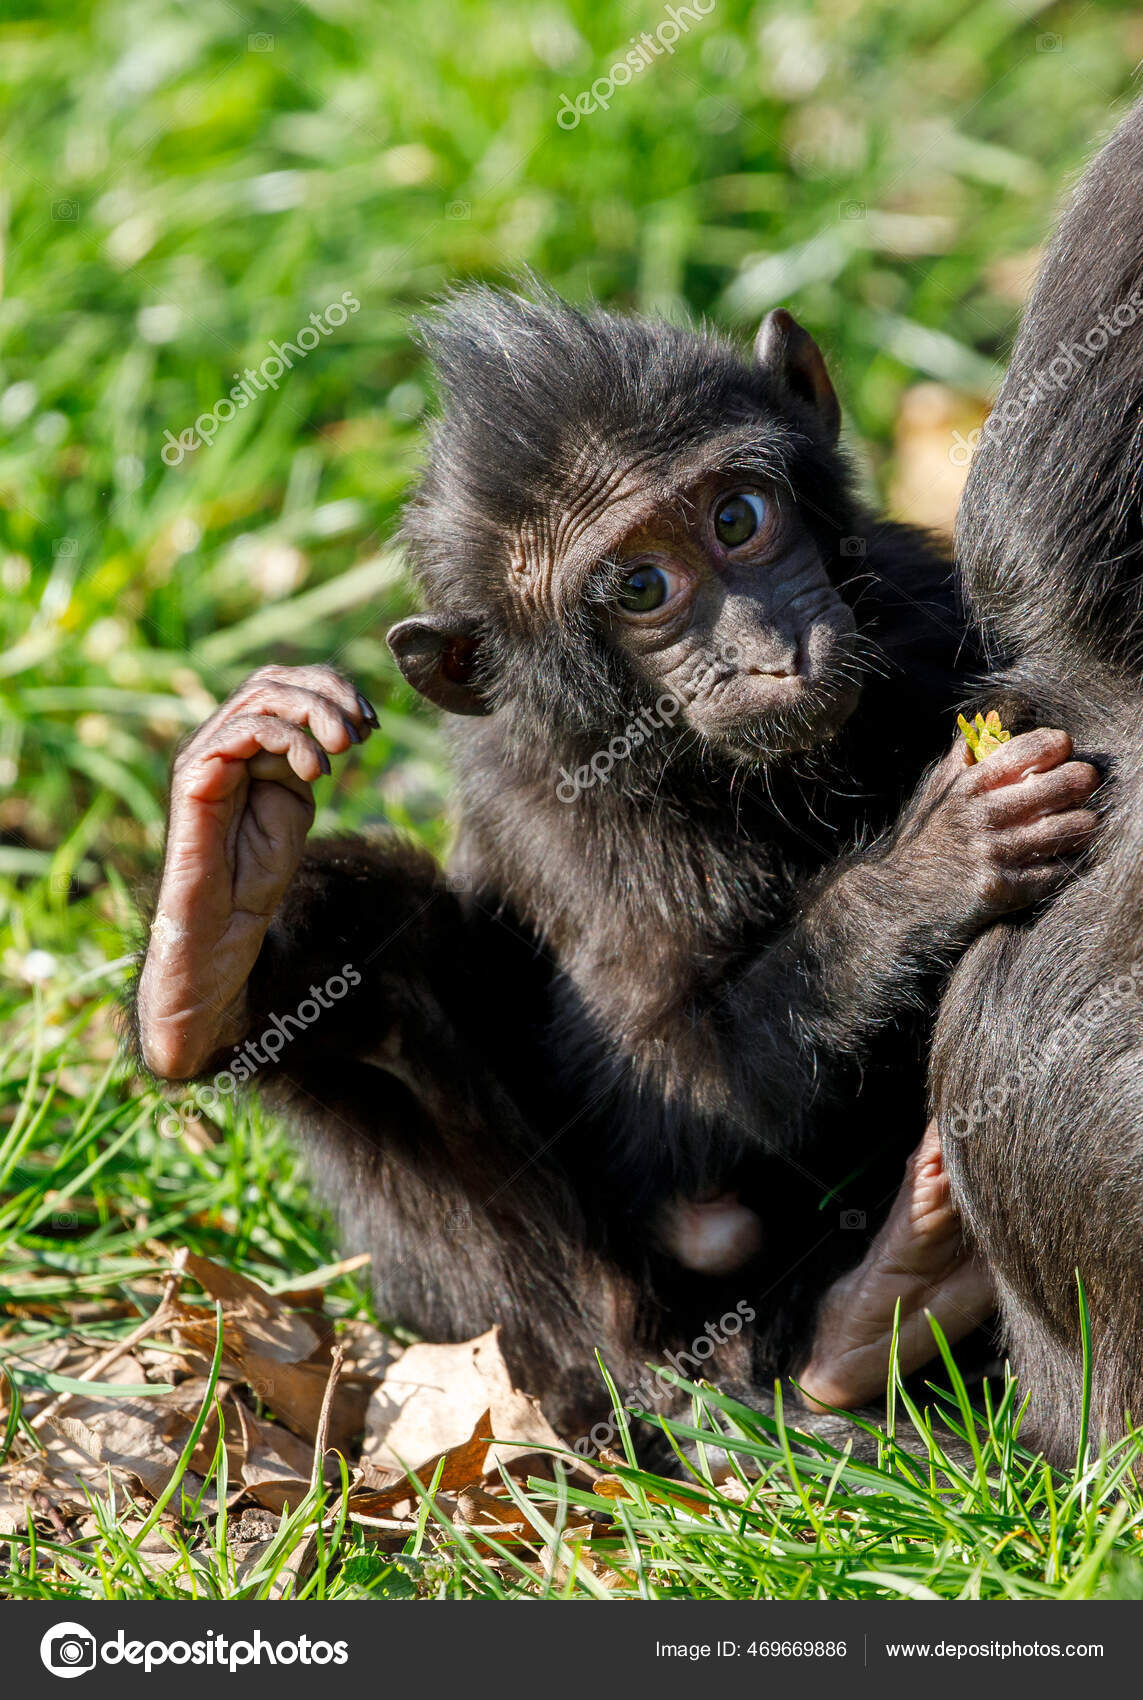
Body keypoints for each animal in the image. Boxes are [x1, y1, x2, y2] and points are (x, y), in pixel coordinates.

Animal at [132, 288, 1098, 1448]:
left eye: (737, 518)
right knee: (377, 958)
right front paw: (931, 865)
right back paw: (209, 930)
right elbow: (663, 1093)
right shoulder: (560, 815)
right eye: (641, 586)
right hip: (533, 1319)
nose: (767, 646)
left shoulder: (927, 605)